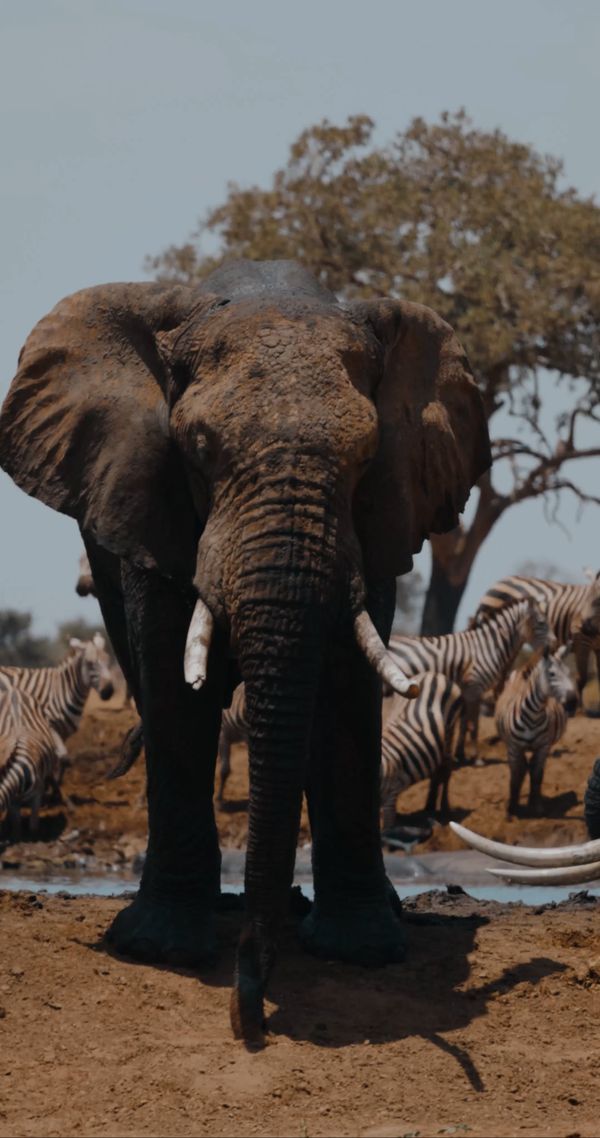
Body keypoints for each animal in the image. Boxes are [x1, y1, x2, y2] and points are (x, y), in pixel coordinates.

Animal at [0, 259, 490, 1042]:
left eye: (364, 458)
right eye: (199, 449)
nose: (247, 1017)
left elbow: (346, 692)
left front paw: (363, 949)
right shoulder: (148, 500)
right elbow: (173, 688)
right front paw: (161, 947)